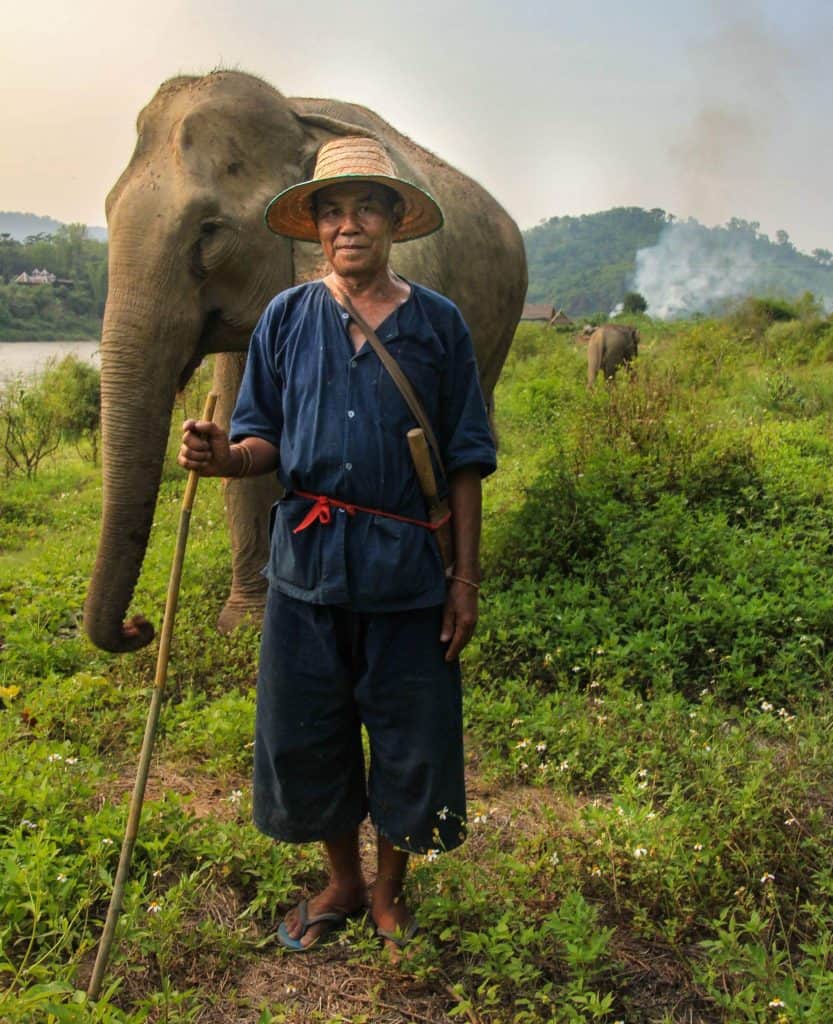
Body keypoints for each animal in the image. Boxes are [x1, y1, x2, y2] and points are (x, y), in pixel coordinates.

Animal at [84, 70, 527, 654]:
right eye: (107, 211)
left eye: (209, 233)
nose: (141, 626)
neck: (296, 111)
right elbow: (247, 425)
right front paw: (246, 624)